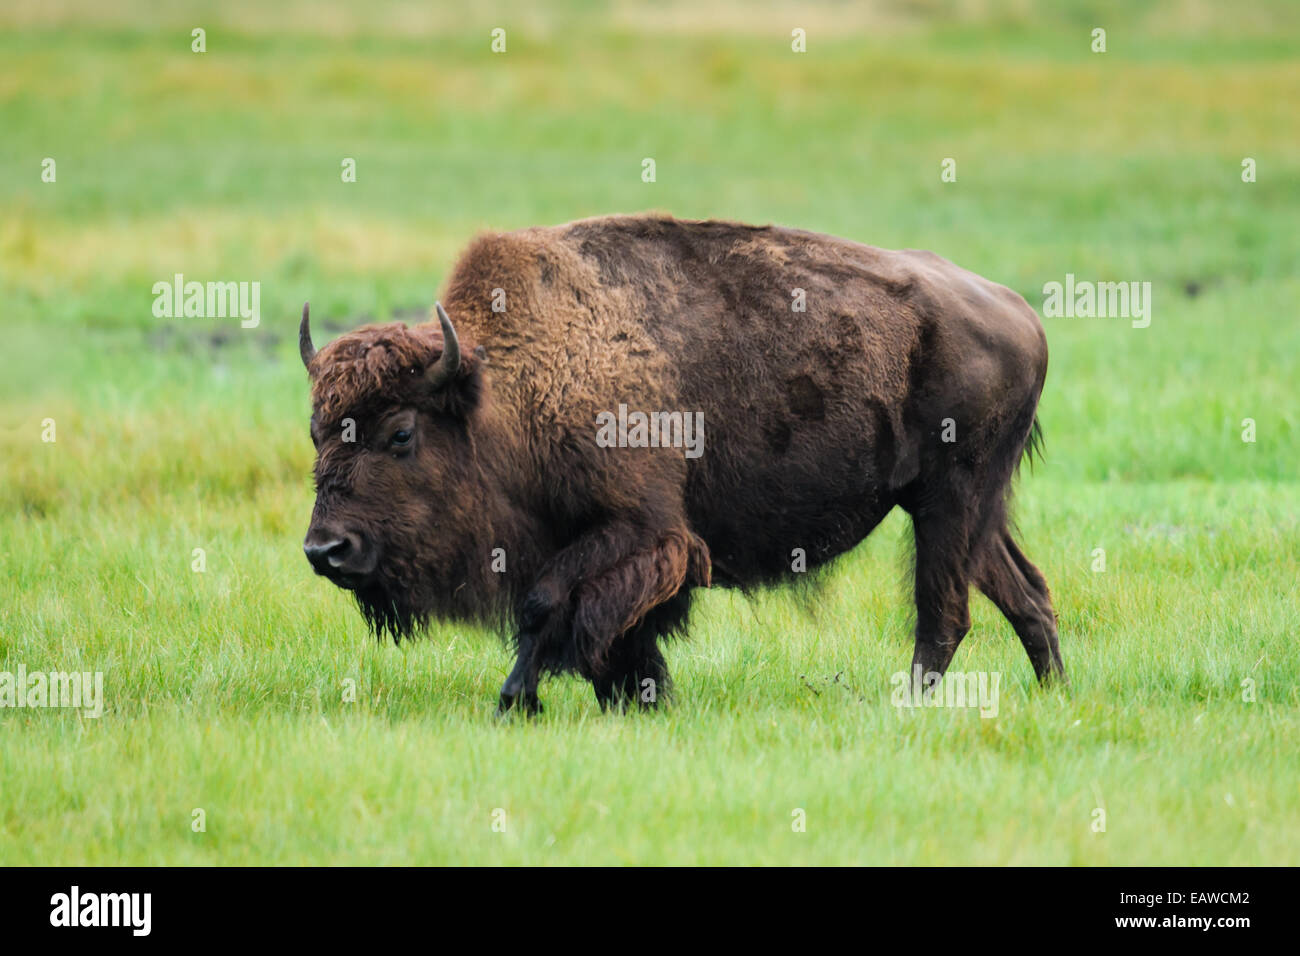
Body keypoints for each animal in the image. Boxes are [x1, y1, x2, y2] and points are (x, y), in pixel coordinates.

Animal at [299, 214, 1064, 713]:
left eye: (401, 434)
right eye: (317, 433)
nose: (325, 549)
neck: (507, 386)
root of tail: (1023, 315)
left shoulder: (641, 529)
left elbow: (550, 602)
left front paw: (518, 700)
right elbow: (606, 625)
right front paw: (638, 700)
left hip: (949, 499)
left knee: (944, 613)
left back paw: (910, 708)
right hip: (964, 510)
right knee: (1026, 592)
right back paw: (1057, 694)